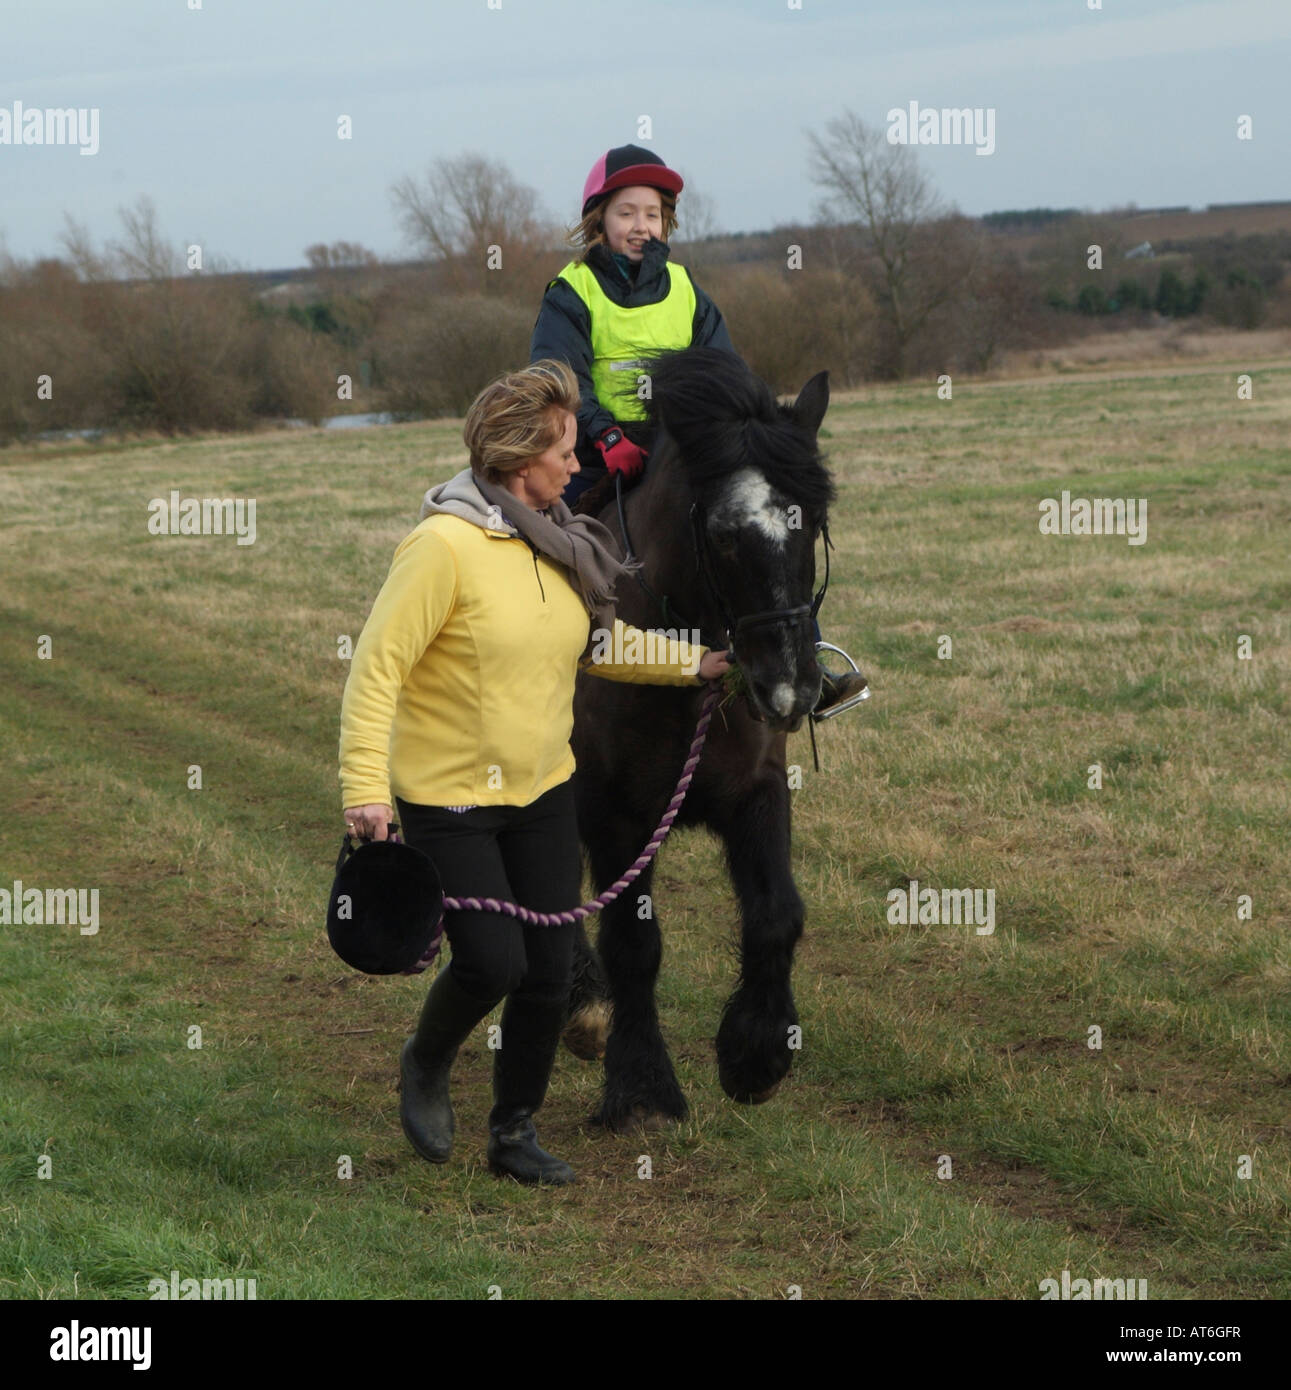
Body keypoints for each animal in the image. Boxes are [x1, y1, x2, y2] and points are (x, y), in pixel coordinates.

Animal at [566, 346, 836, 1132]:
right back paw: (582, 1007)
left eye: (811, 521)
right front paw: (642, 1086)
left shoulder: (757, 792)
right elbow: (633, 943)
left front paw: (756, 1055)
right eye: (720, 534)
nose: (789, 687)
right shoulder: (614, 815)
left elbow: (777, 914)